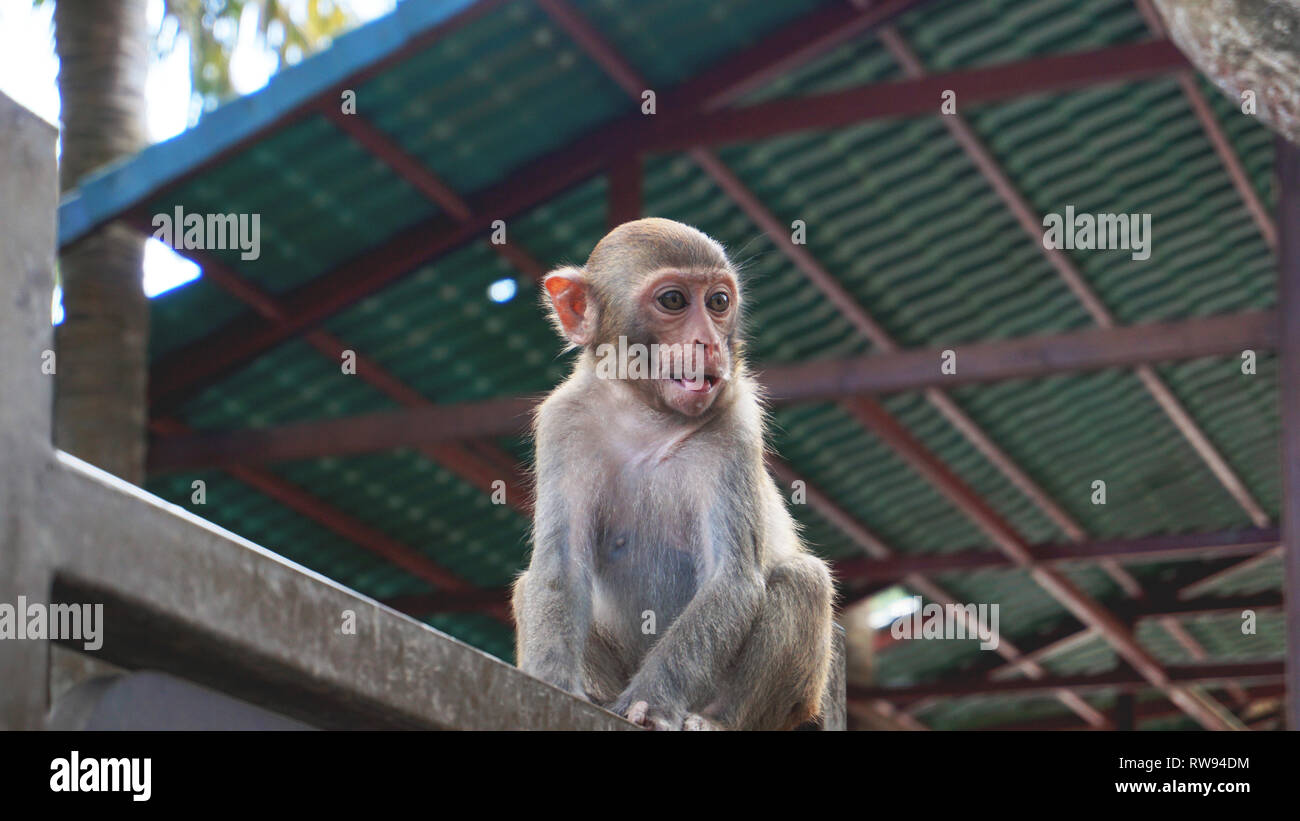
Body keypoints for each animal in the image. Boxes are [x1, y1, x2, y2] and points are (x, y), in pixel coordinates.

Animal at [511, 218, 835, 731]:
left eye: (718, 302)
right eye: (674, 301)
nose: (709, 342)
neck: (646, 415)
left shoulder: (737, 426)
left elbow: (731, 577)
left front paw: (651, 701)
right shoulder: (564, 421)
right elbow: (560, 565)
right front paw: (552, 683)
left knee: (803, 580)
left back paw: (716, 719)